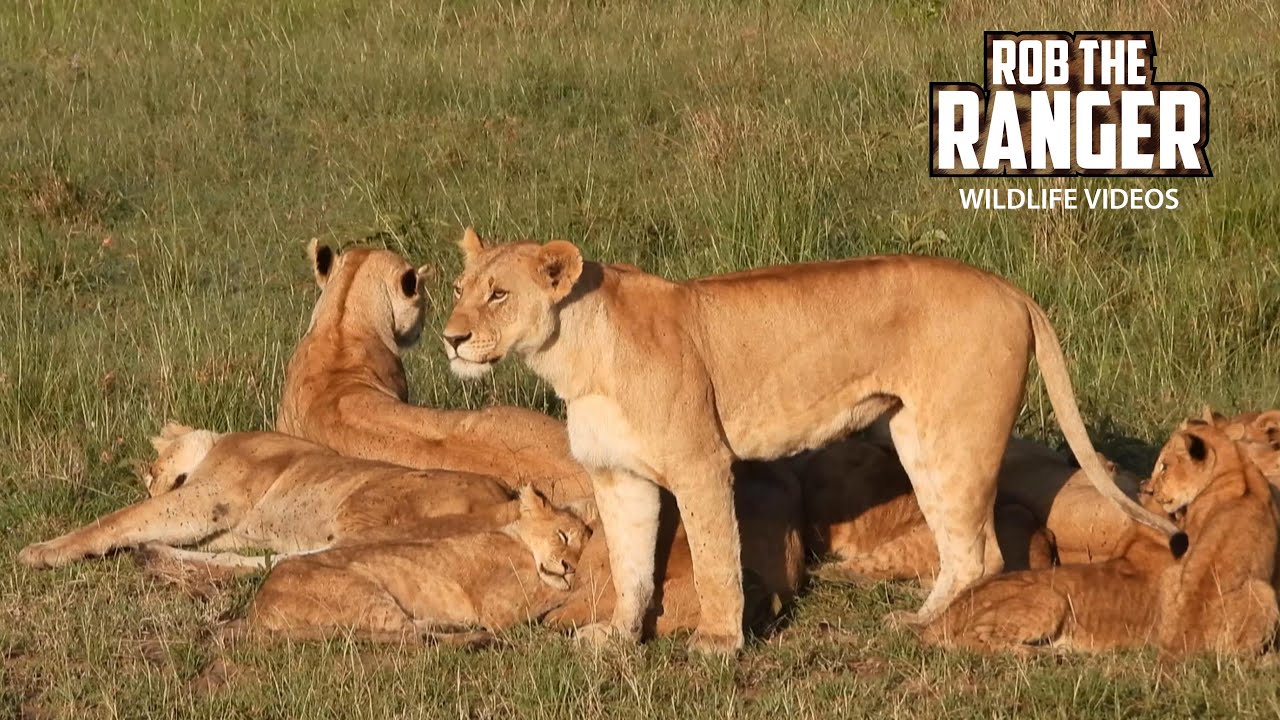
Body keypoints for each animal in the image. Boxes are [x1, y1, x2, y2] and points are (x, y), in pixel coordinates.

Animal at [17, 424, 512, 569]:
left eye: (155, 473)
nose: (155, 484)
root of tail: (503, 497)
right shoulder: (218, 524)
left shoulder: (205, 499)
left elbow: (118, 518)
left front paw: (40, 551)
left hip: (363, 507)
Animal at [231, 486, 592, 643]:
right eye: (562, 535)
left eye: (584, 547)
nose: (570, 566)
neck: (518, 539)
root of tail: (258, 605)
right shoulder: (500, 609)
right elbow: (554, 595)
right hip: (366, 591)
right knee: (408, 635)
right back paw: (465, 635)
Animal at [440, 228, 1179, 654]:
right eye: (459, 289)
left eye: (499, 294)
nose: (450, 337)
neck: (573, 356)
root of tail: (1008, 287)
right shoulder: (619, 478)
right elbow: (629, 566)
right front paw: (617, 637)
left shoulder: (701, 463)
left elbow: (714, 559)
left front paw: (717, 643)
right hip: (918, 435)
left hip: (949, 437)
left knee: (980, 552)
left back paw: (921, 629)